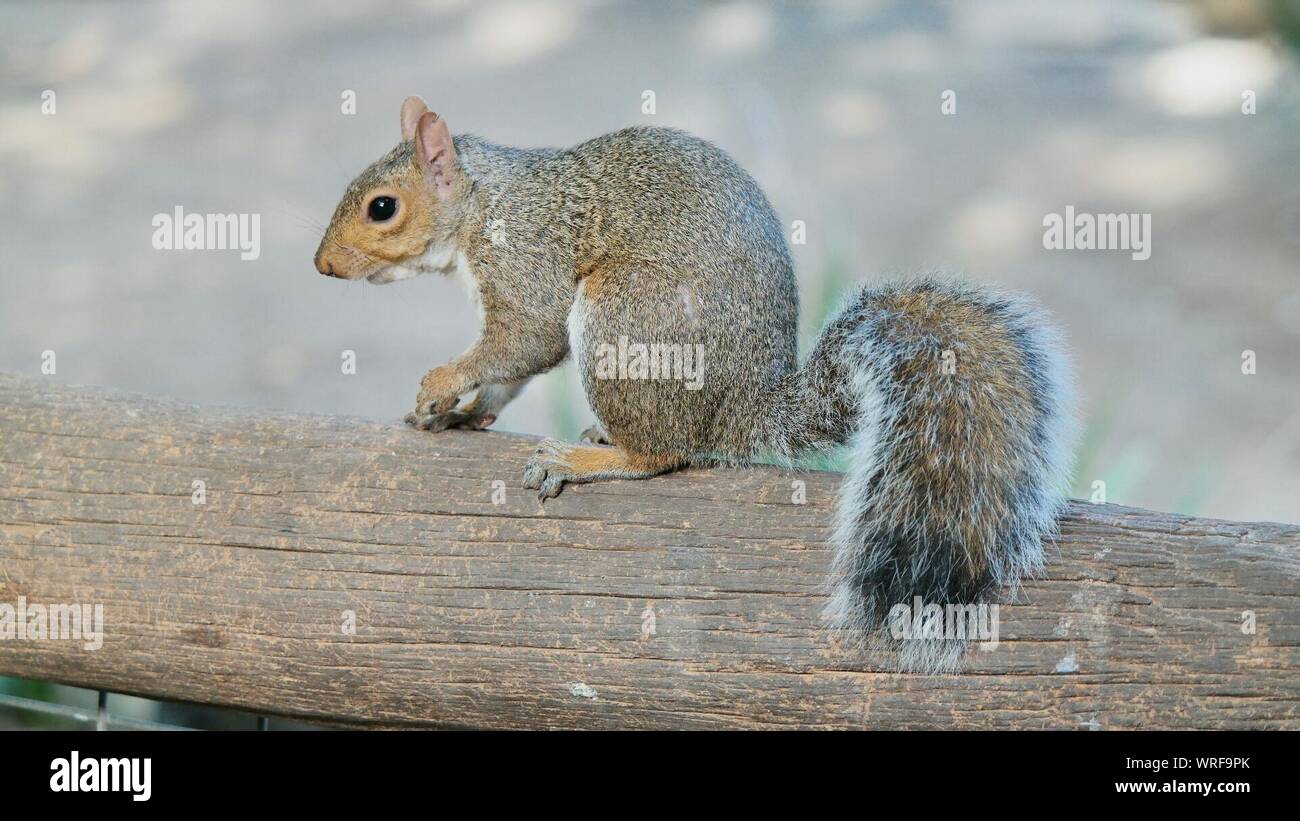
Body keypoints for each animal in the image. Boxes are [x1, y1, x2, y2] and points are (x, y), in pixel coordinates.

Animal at [315, 96, 1077, 671]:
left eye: (382, 207)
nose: (322, 265)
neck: (482, 202)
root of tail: (741, 411)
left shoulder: (526, 259)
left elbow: (523, 341)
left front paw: (441, 382)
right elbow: (517, 368)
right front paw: (462, 411)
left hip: (627, 314)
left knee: (663, 453)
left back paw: (585, 456)